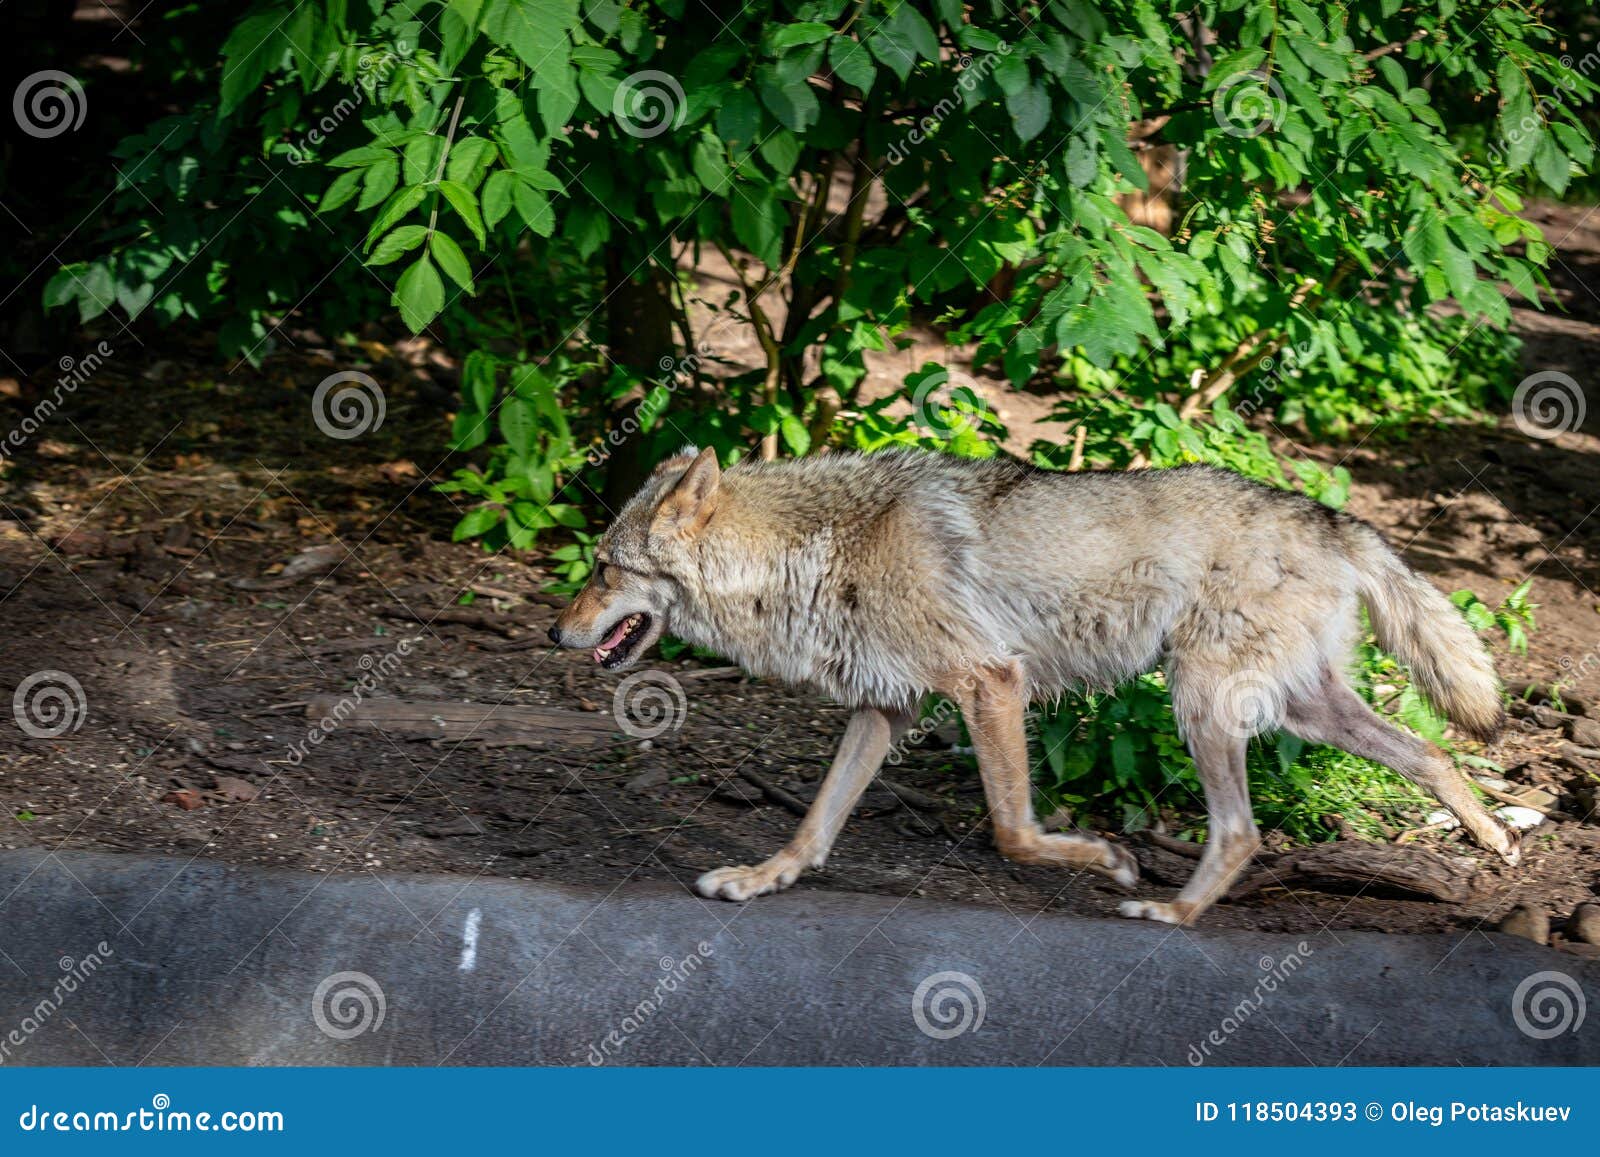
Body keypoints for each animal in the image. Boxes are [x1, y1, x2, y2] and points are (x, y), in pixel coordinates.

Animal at [551, 446, 1517, 925]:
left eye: (602, 569)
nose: (555, 633)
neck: (808, 550)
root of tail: (1332, 515)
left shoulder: (992, 681)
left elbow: (1014, 830)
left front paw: (1106, 858)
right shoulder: (885, 706)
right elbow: (813, 824)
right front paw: (760, 880)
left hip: (1203, 702)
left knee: (1243, 833)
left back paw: (1170, 909)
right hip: (1303, 711)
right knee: (1430, 752)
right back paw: (1497, 842)